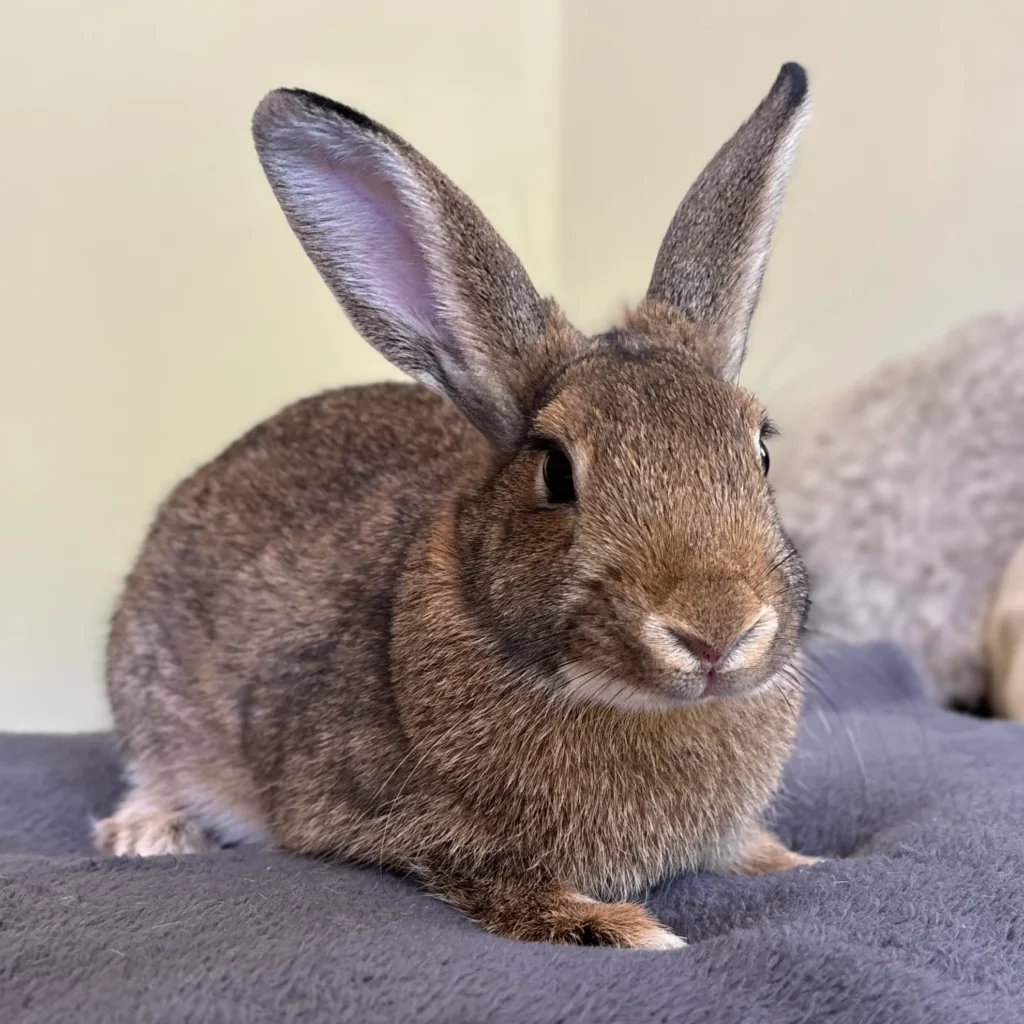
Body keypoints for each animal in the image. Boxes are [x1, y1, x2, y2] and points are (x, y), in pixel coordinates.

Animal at [94, 64, 818, 950]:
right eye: (556, 471)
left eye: (761, 450)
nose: (717, 632)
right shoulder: (402, 826)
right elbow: (499, 884)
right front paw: (625, 928)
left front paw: (795, 861)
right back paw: (147, 834)